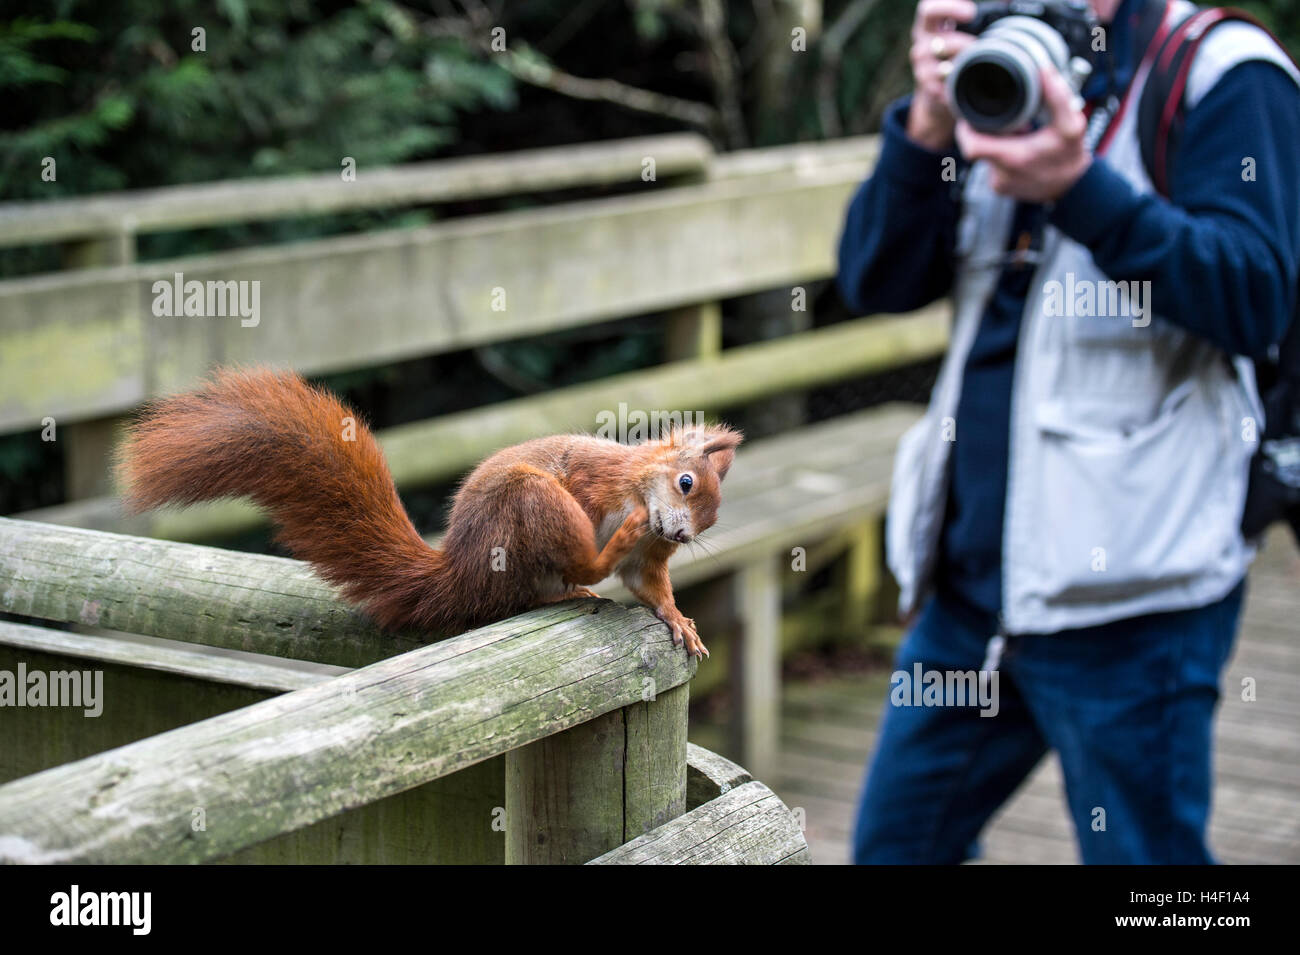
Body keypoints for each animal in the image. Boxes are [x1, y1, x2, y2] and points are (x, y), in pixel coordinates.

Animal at [116, 367, 741, 658]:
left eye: (710, 523)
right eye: (685, 482)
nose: (680, 535)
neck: (640, 495)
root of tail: (457, 574)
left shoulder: (650, 559)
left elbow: (650, 587)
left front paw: (679, 621)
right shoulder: (595, 480)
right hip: (527, 503)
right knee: (555, 573)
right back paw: (585, 571)